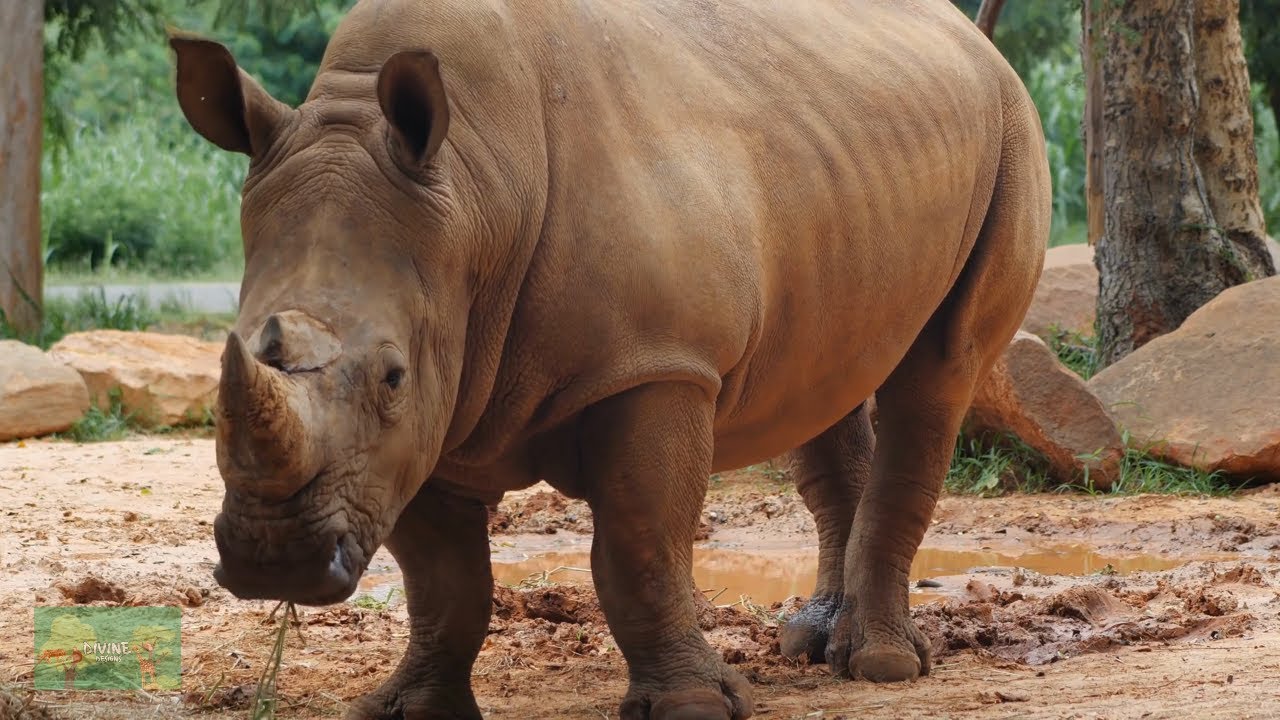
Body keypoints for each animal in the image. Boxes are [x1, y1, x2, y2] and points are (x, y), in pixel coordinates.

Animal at [170, 0, 1050, 717]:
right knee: (823, 375)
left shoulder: (652, 364)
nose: (273, 562)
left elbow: (639, 540)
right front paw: (411, 711)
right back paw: (812, 644)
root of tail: (971, 37)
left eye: (391, 375)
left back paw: (881, 667)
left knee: (938, 372)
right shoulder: (433, 403)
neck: (474, 194)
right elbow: (442, 578)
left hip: (1013, 130)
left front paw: (692, 708)